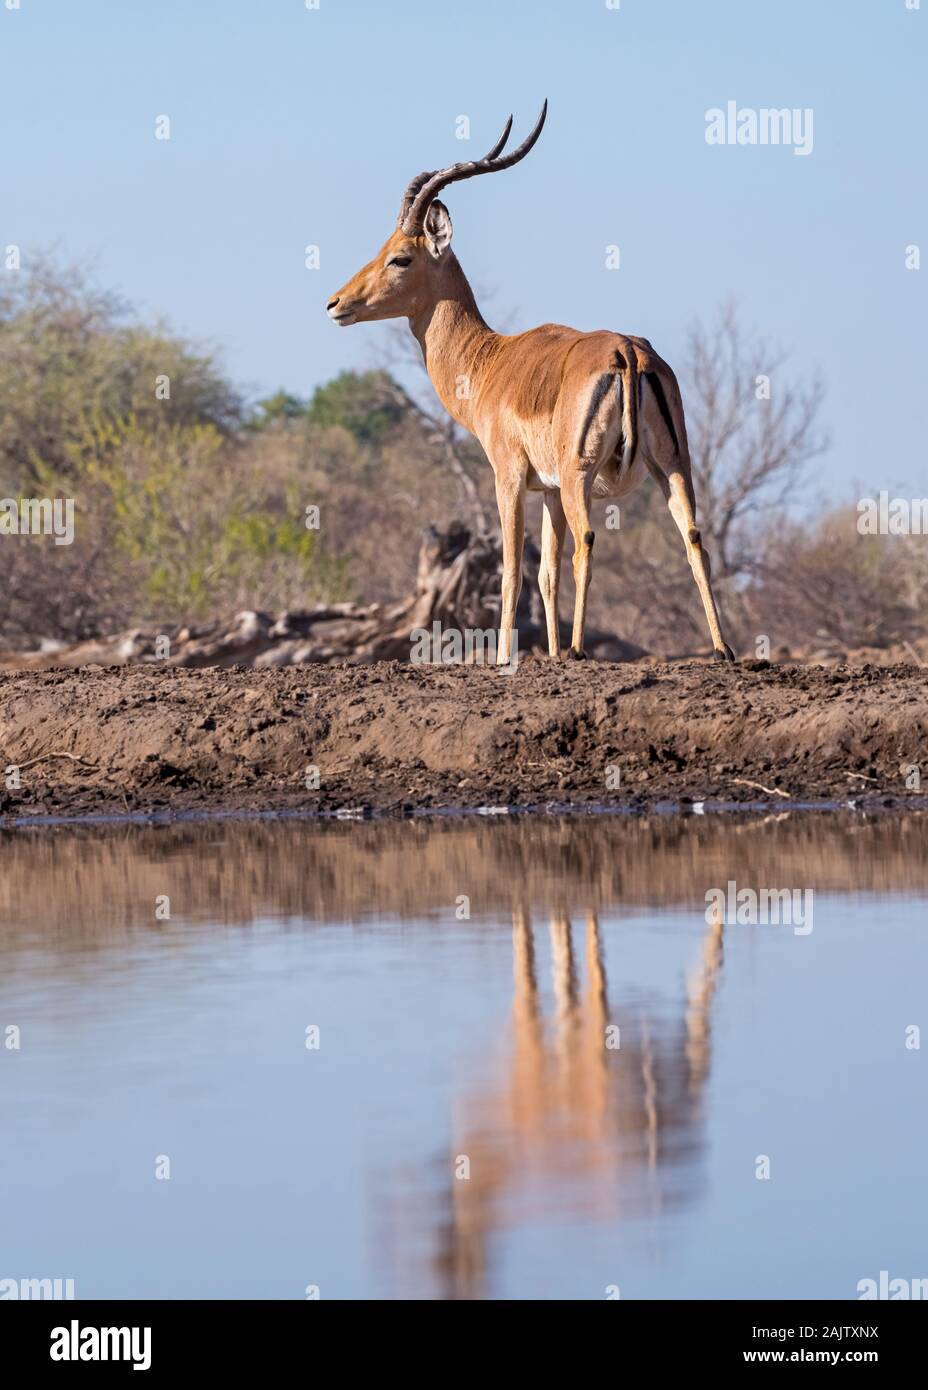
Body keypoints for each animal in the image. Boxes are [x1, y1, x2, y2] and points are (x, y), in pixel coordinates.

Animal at [327, 103, 735, 665]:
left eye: (401, 257)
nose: (335, 303)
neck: (489, 364)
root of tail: (629, 353)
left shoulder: (510, 477)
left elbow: (513, 574)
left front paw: (507, 658)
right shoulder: (550, 489)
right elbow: (545, 575)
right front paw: (553, 654)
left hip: (584, 474)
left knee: (588, 539)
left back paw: (583, 649)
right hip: (672, 465)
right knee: (694, 537)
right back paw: (722, 649)